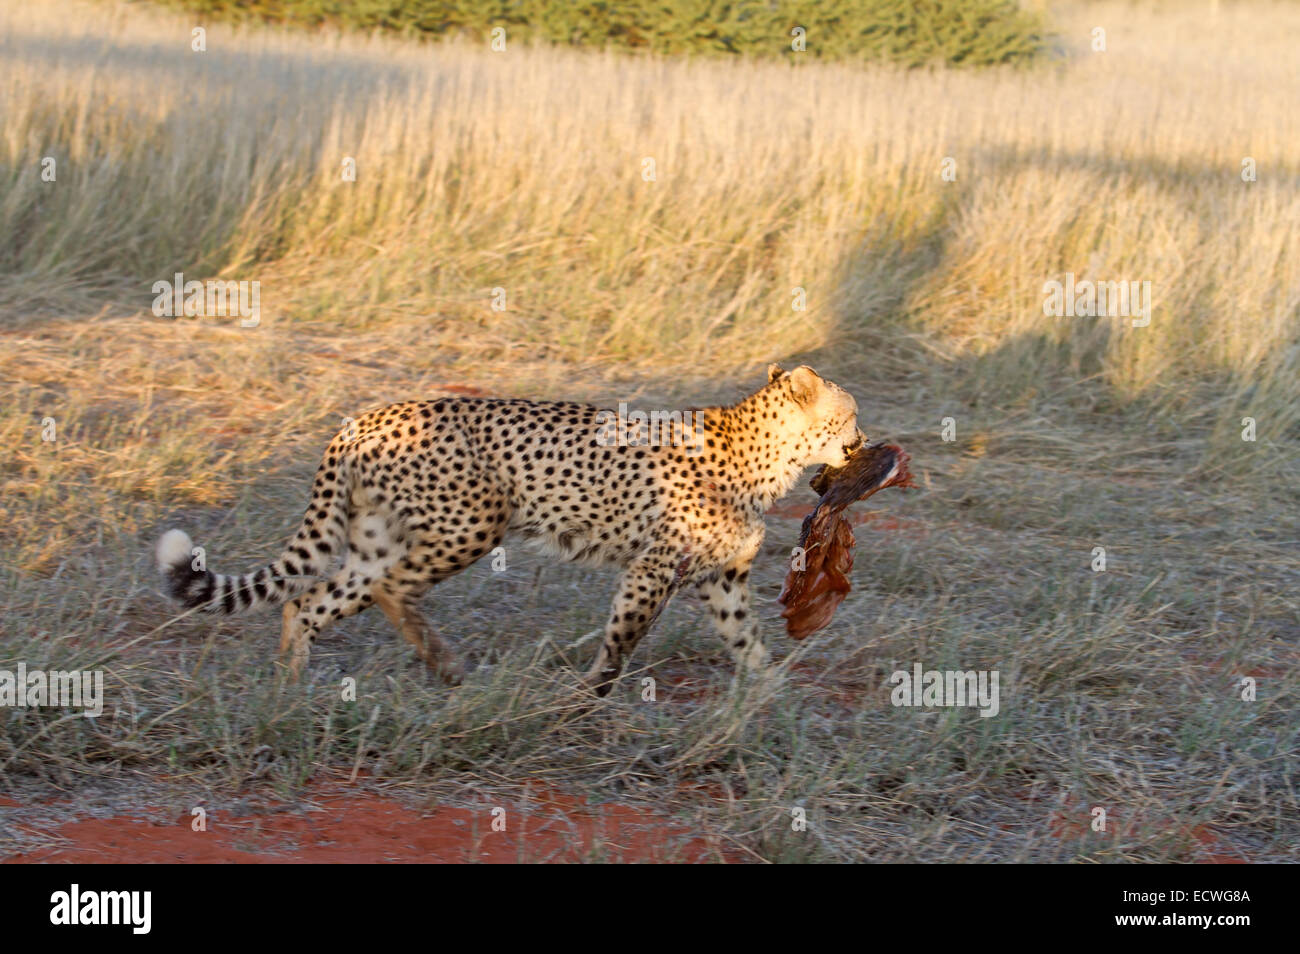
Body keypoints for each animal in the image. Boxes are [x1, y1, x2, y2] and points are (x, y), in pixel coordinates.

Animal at [156, 364, 867, 694]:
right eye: (851, 415)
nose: (863, 442)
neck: (766, 453)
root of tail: (364, 416)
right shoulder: (654, 568)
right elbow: (623, 640)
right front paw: (587, 698)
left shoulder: (722, 578)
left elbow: (747, 642)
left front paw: (769, 696)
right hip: (469, 524)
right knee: (390, 589)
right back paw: (443, 665)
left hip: (378, 541)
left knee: (308, 598)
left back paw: (291, 679)